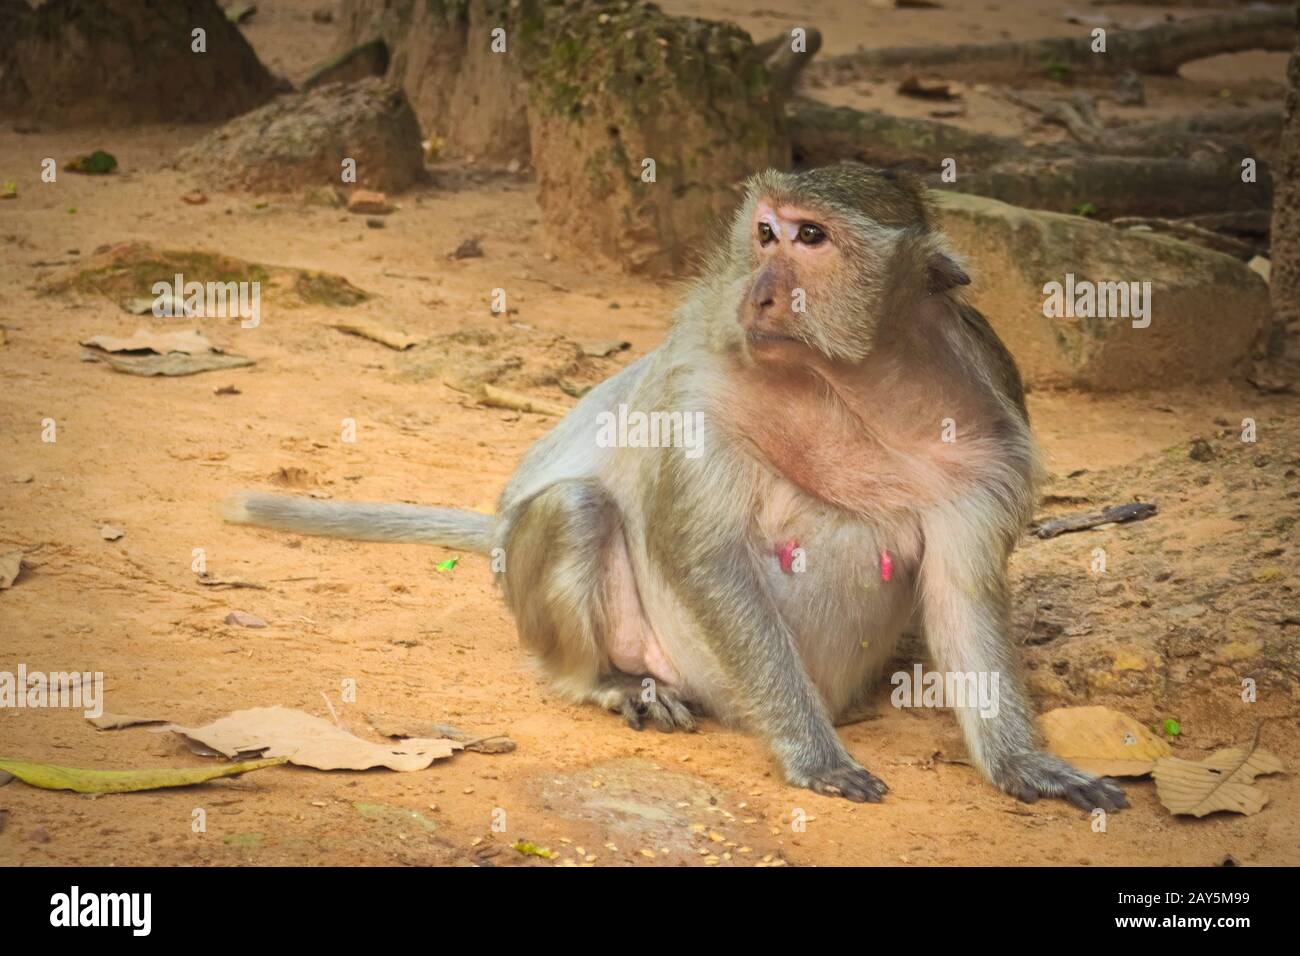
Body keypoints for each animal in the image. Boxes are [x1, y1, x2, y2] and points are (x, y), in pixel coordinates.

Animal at [221, 164, 1126, 812]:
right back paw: (603, 682)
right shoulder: (702, 388)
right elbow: (704, 557)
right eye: (763, 233)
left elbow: (962, 596)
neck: (852, 381)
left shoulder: (989, 428)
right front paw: (811, 751)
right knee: (579, 509)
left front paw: (1024, 762)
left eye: (810, 236)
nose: (760, 290)